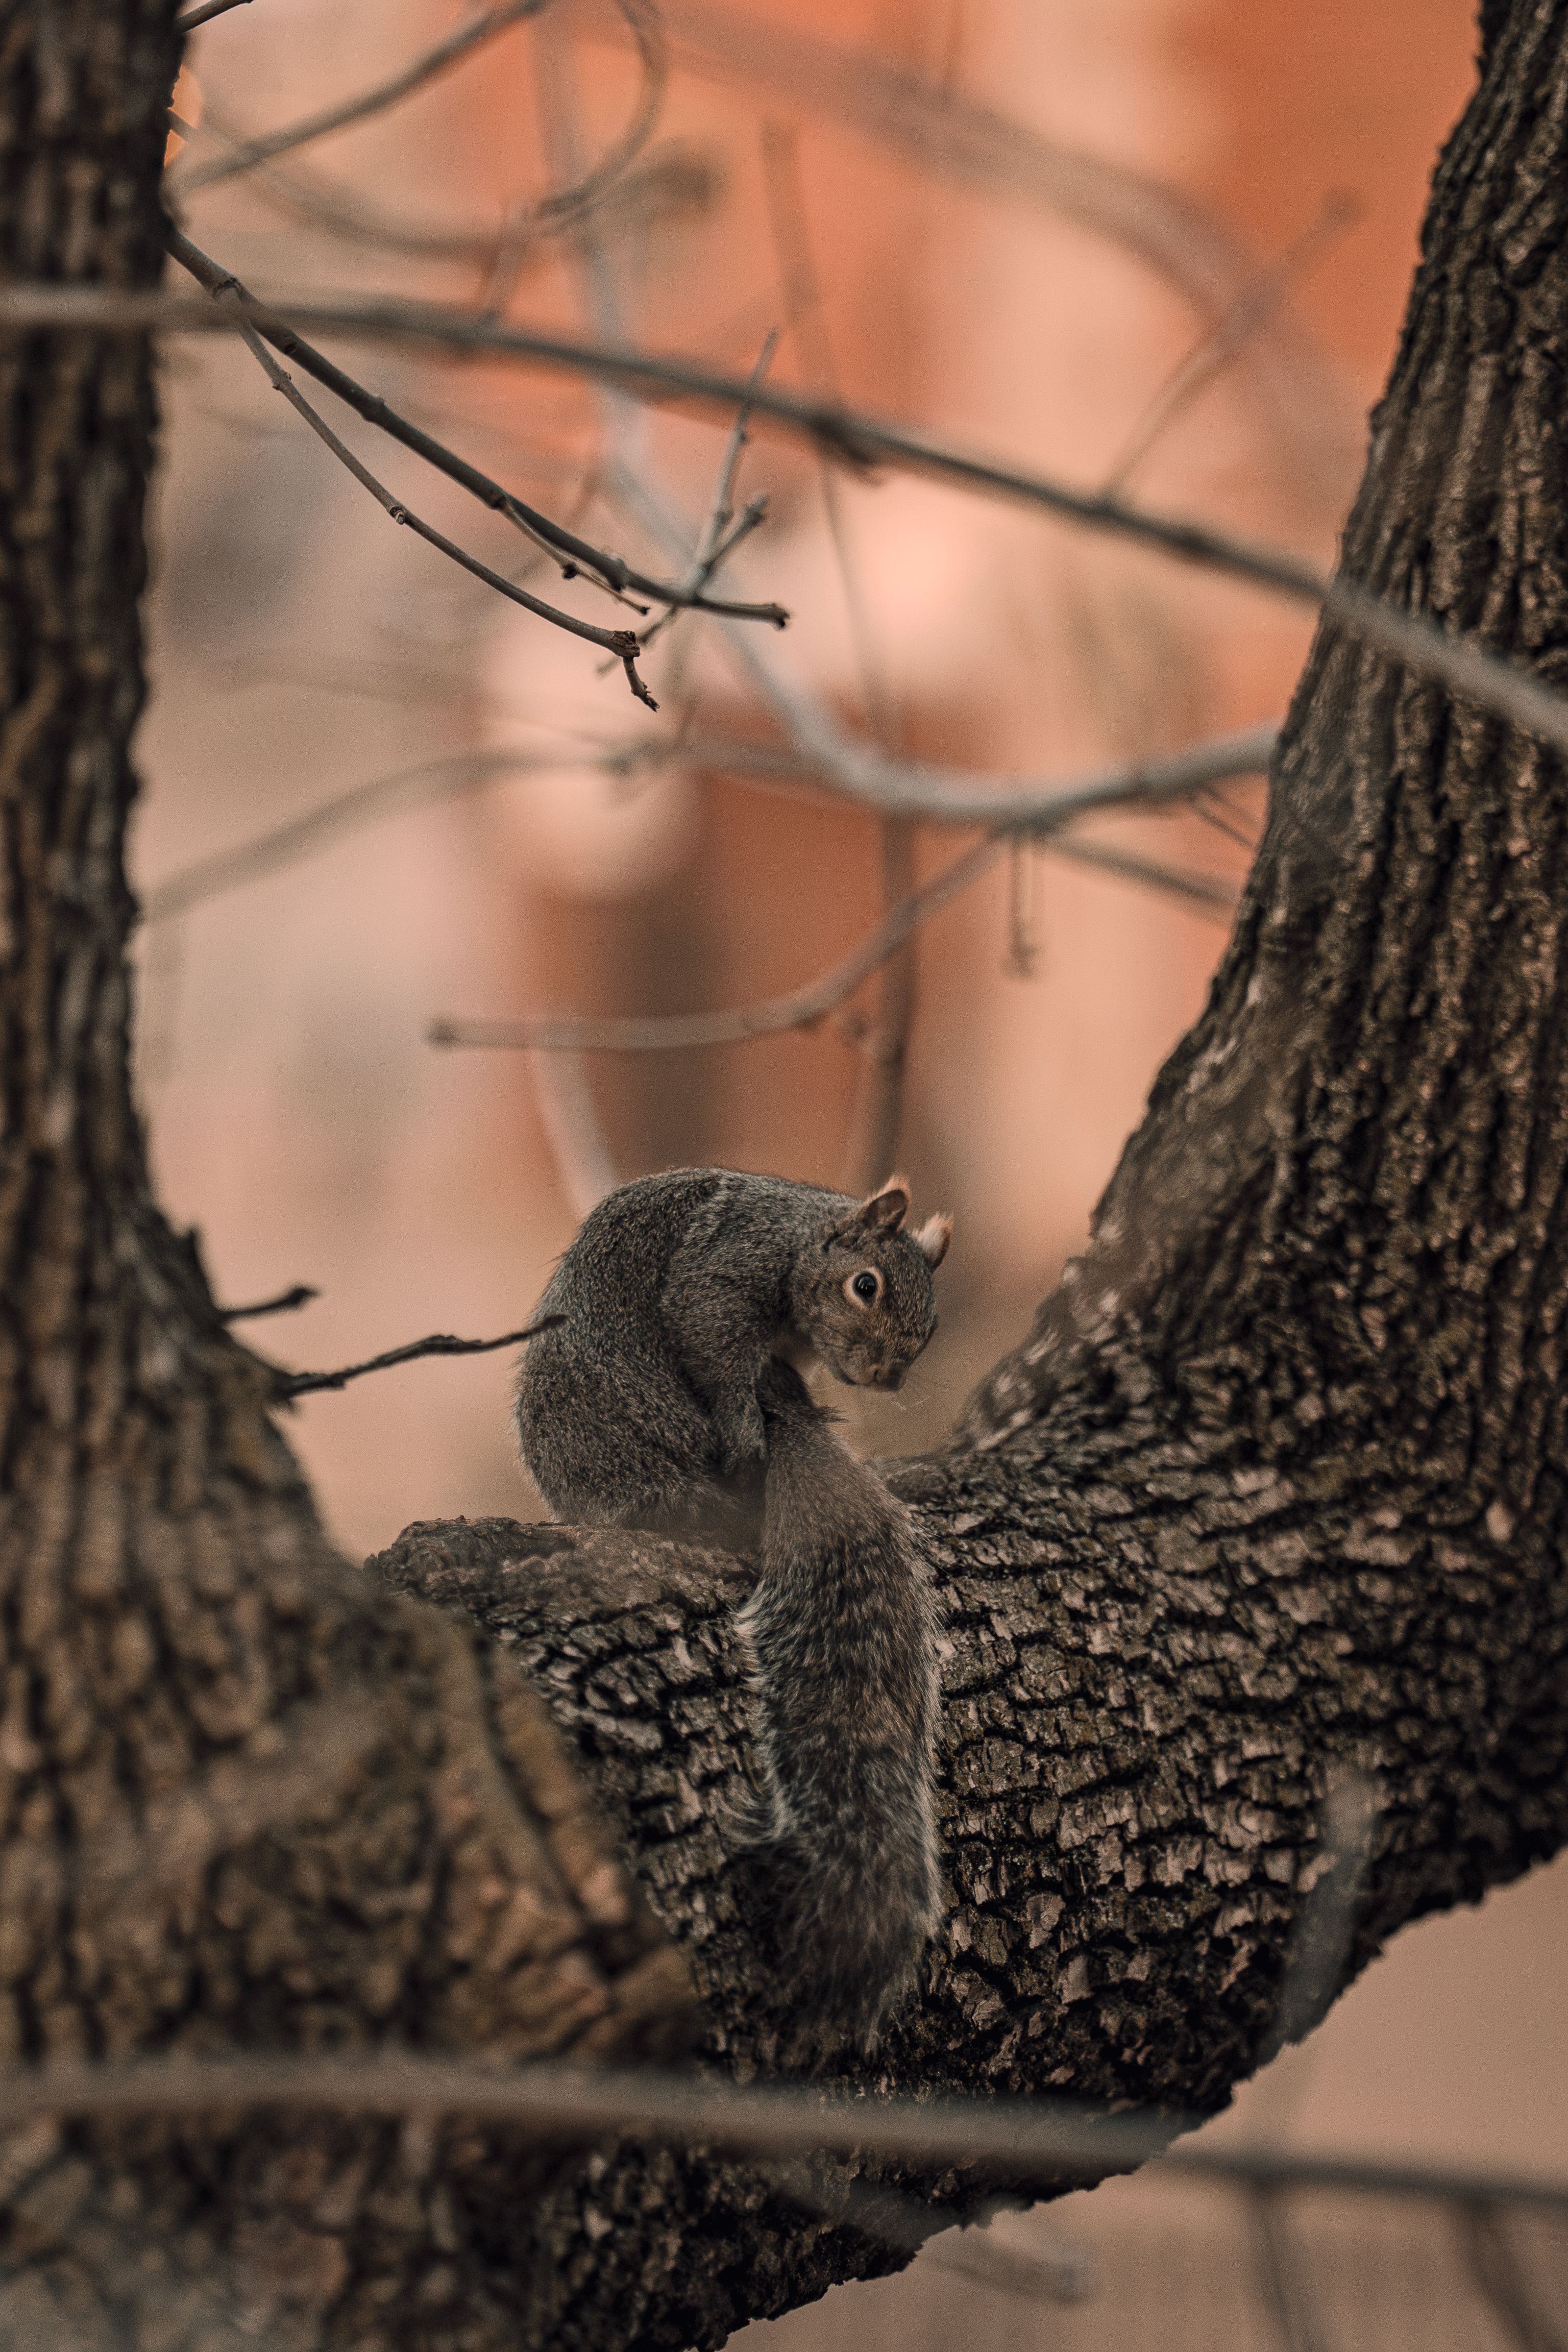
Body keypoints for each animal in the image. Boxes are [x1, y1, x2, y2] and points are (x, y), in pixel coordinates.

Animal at [513, 1166, 952, 2045]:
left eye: (931, 1325)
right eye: (865, 1286)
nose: (885, 1378)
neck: (799, 1239)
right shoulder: (721, 1277)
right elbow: (712, 1349)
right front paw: (744, 1420)